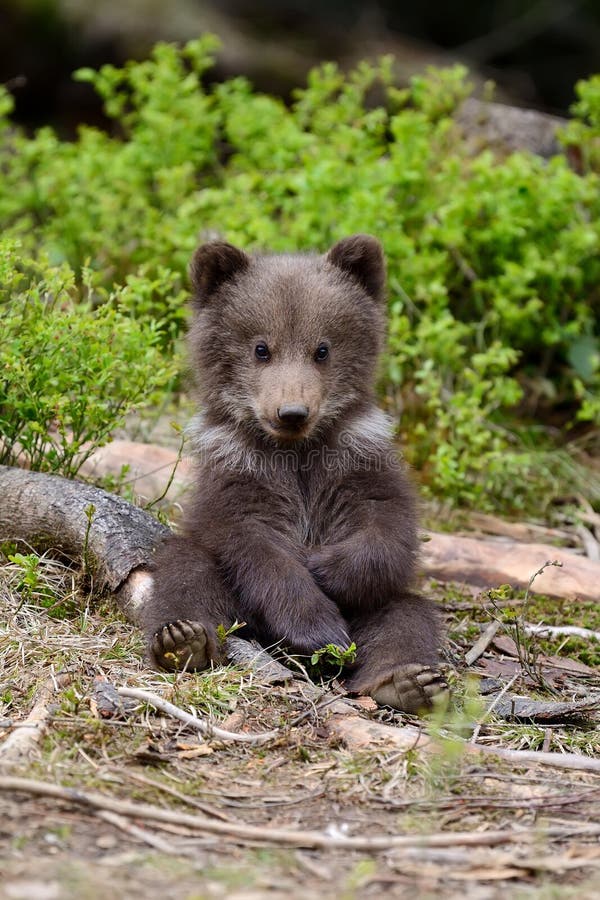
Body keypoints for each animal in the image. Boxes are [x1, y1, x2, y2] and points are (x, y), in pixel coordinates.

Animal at [142, 234, 446, 713]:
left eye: (322, 348)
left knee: (406, 615)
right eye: (260, 348)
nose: (291, 412)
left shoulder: (356, 462)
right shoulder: (237, 475)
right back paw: (183, 640)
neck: (295, 453)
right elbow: (253, 546)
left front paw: (321, 567)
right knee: (185, 568)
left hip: (379, 610)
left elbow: (385, 528)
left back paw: (406, 681)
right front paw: (315, 625)